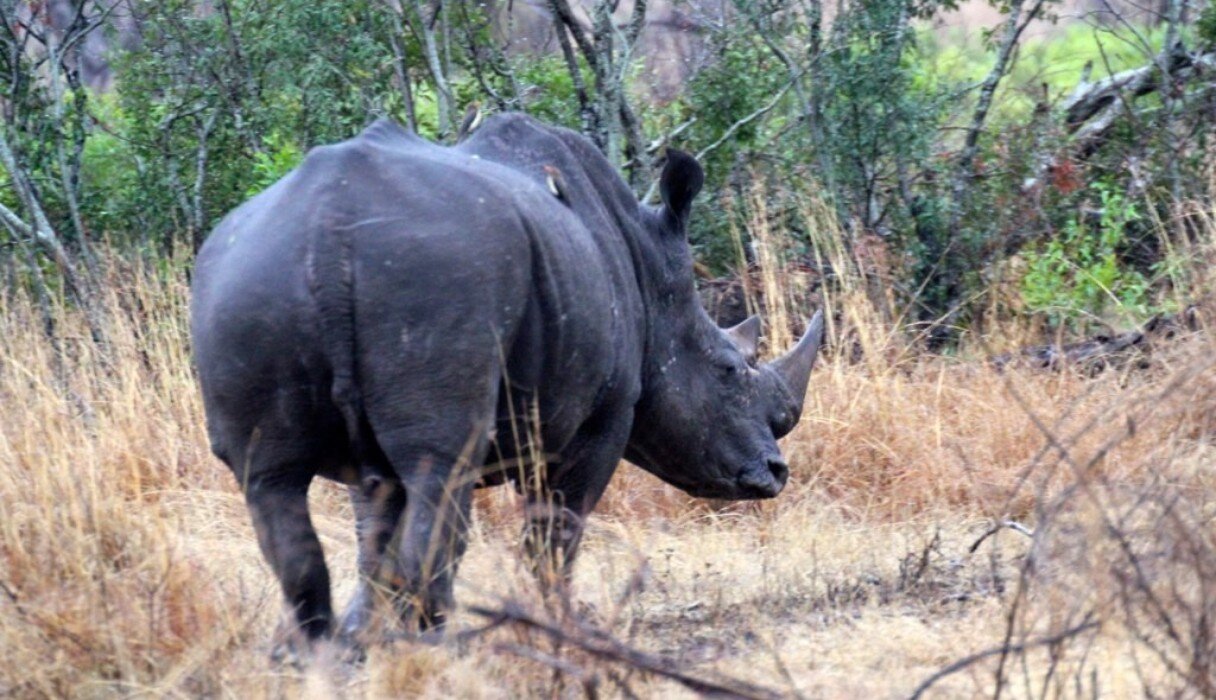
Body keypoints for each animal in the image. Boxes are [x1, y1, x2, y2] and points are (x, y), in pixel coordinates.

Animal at [190, 113, 823, 650]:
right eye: (728, 370)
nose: (776, 473)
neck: (648, 268)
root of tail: (327, 229)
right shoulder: (600, 417)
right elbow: (555, 530)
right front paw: (562, 627)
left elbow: (374, 533)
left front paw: (363, 637)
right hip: (431, 281)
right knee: (439, 466)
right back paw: (439, 649)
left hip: (248, 281)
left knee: (271, 480)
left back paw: (321, 653)